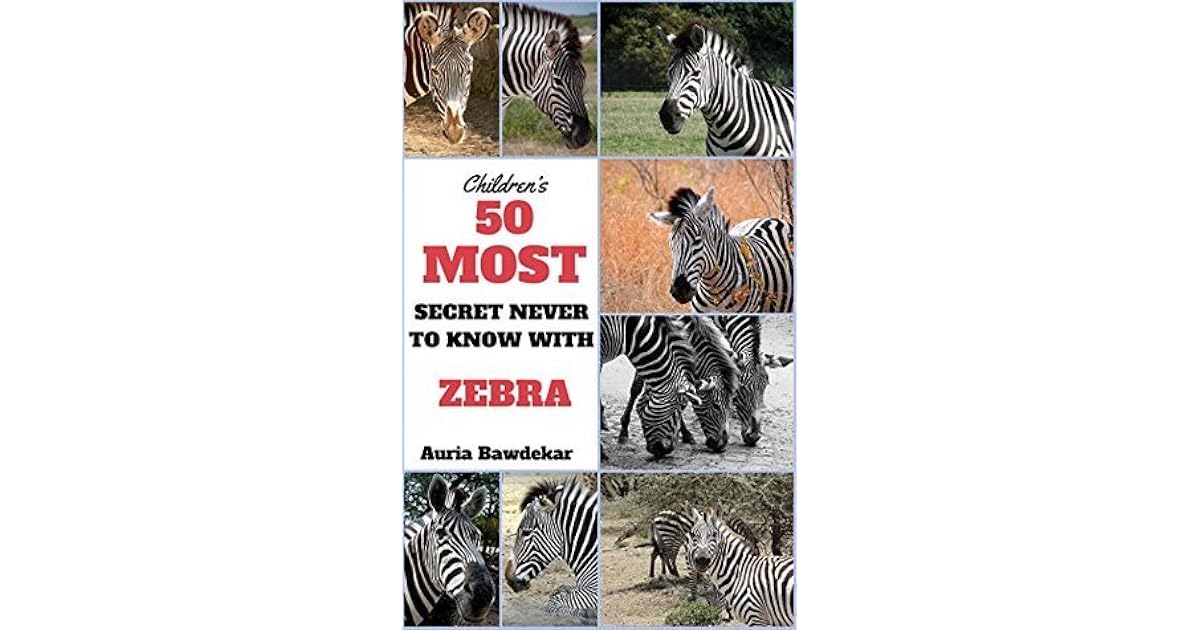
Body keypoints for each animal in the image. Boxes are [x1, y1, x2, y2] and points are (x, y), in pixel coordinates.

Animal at [505, 478, 599, 619]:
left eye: (526, 533)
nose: (507, 578)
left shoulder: (592, 591)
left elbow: (552, 603)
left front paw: (586, 612)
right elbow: (558, 591)